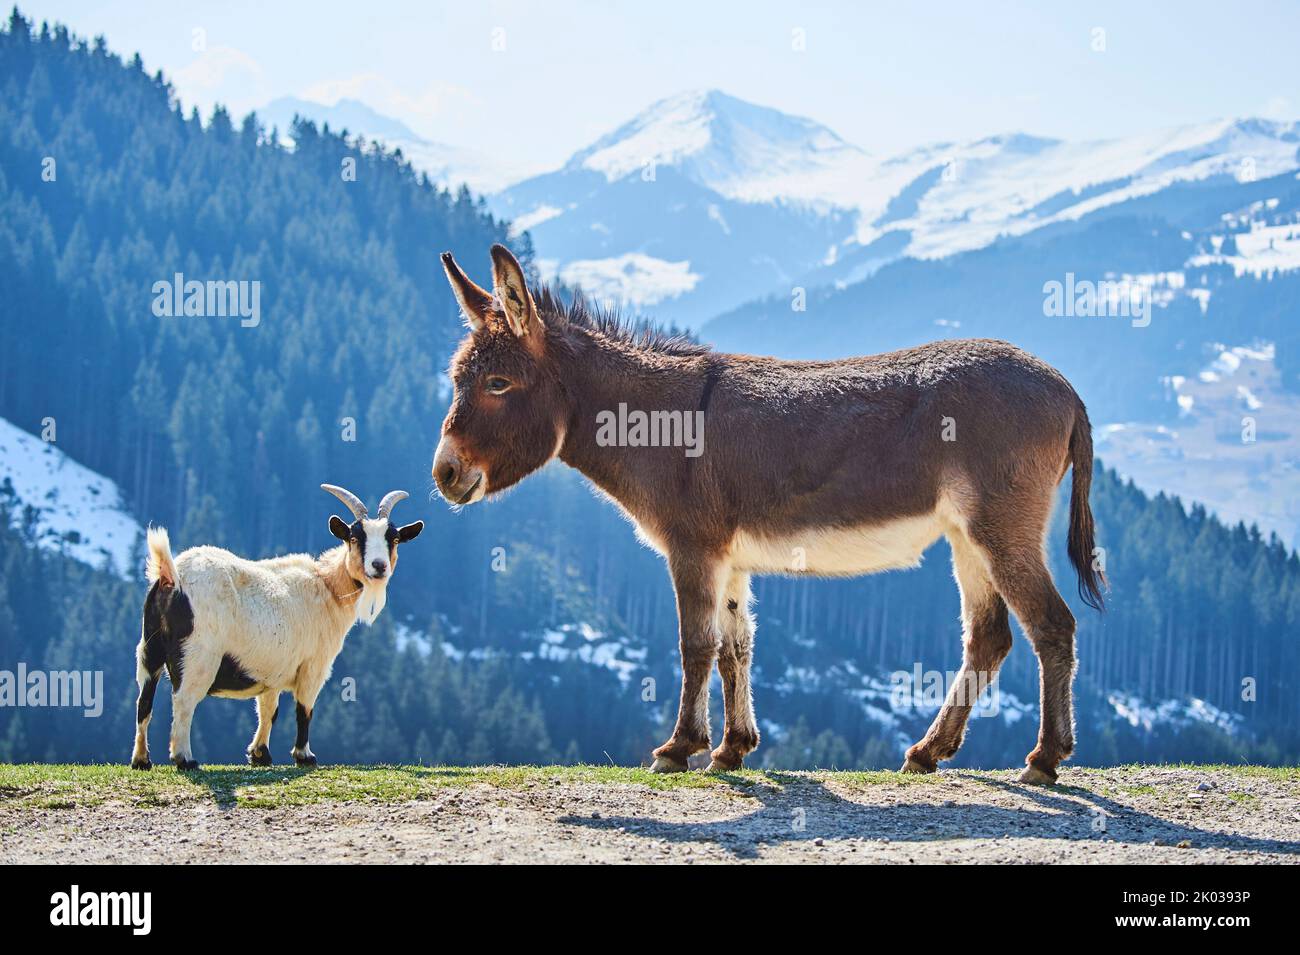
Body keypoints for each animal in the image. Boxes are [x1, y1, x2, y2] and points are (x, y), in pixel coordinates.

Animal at [130, 485, 424, 770]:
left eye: (393, 539)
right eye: (354, 538)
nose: (378, 566)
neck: (328, 587)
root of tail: (172, 577)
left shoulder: (272, 668)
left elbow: (269, 709)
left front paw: (259, 754)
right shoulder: (313, 665)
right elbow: (304, 710)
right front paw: (304, 756)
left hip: (148, 650)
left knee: (144, 701)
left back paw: (142, 760)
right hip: (197, 655)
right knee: (184, 700)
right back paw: (185, 759)